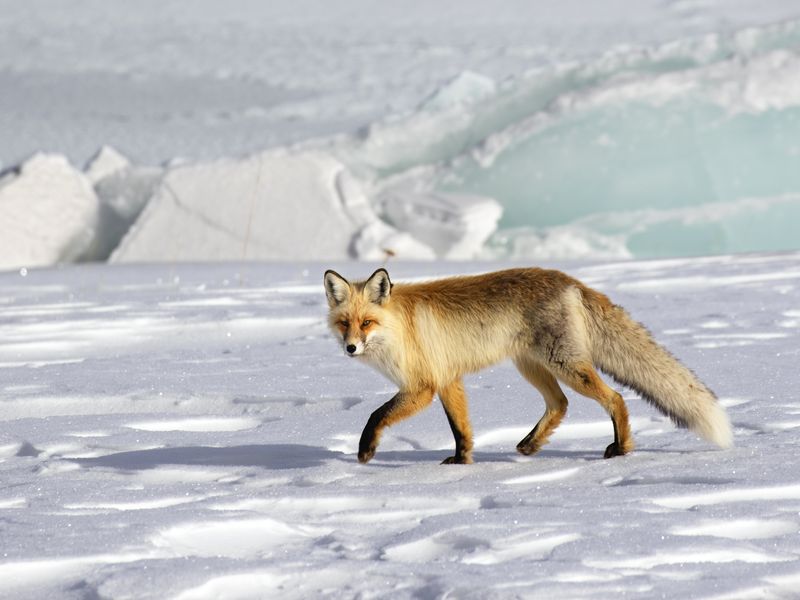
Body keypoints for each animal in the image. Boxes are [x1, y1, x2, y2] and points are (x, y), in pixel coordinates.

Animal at [324, 267, 733, 464]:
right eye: (345, 323)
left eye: (367, 323)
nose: (350, 347)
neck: (398, 328)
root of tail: (570, 279)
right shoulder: (448, 379)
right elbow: (461, 429)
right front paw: (462, 462)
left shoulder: (423, 386)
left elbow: (376, 415)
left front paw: (366, 451)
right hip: (532, 367)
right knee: (560, 404)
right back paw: (530, 445)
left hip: (566, 365)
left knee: (615, 398)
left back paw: (621, 448)